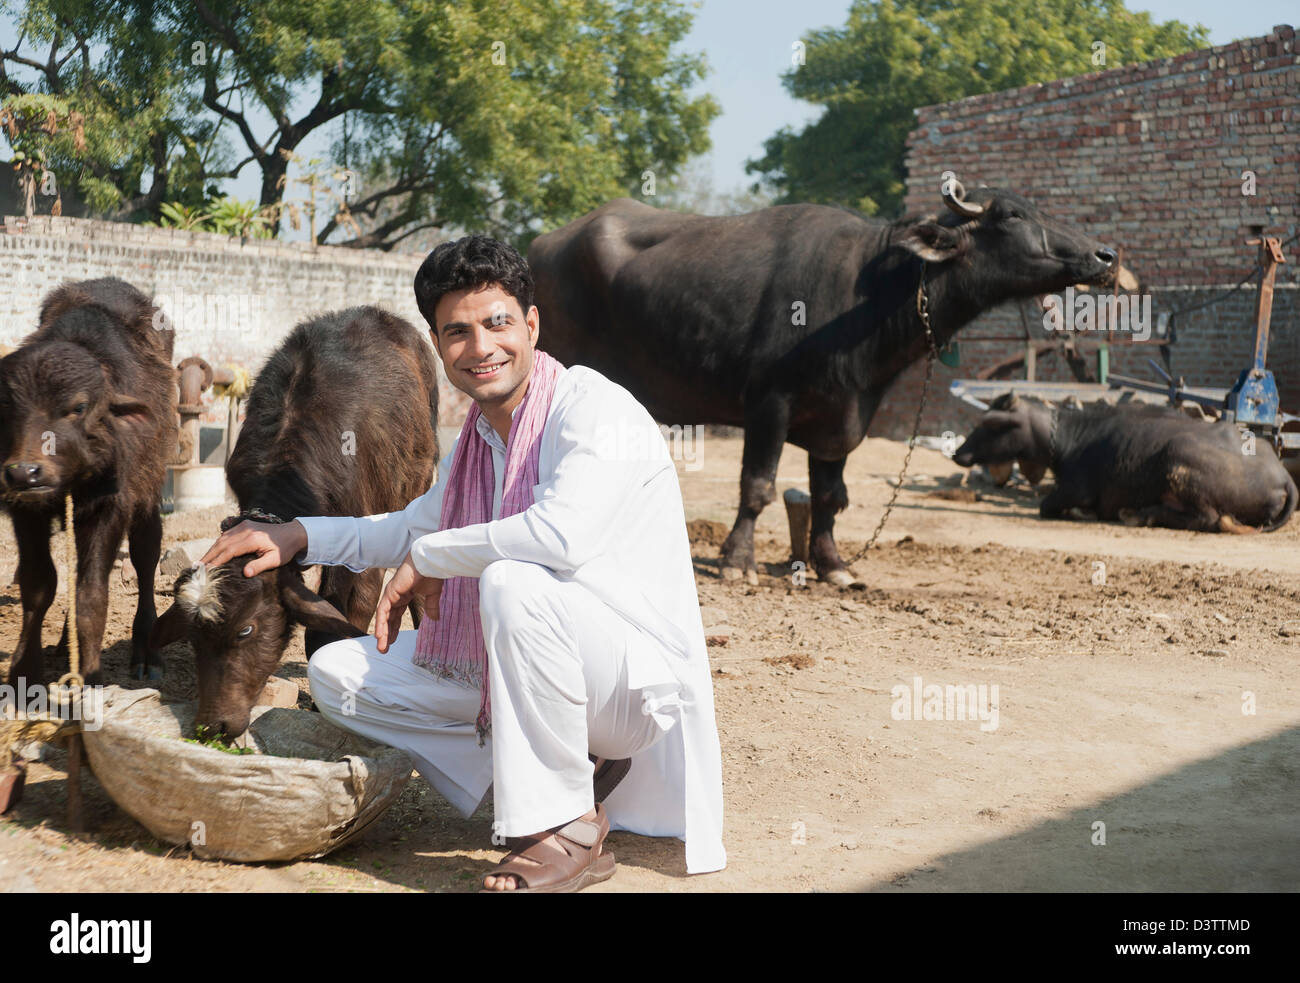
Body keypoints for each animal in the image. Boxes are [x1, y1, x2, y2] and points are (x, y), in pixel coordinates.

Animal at [0, 278, 176, 685]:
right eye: (5, 405)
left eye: (78, 408)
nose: (25, 472)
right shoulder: (25, 511)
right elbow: (39, 585)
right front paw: (24, 673)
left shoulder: (109, 507)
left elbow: (92, 595)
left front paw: (91, 678)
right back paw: (67, 647)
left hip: (149, 489)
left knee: (146, 553)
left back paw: (146, 653)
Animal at [529, 179, 1137, 586]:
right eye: (1010, 215)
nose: (1106, 255)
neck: (864, 297)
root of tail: (541, 248)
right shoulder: (768, 402)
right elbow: (757, 486)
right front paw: (738, 562)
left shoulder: (842, 417)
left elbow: (829, 496)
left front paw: (832, 566)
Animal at [953, 393, 1297, 532]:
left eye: (991, 425)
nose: (958, 454)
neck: (1070, 439)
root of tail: (1282, 475)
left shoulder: (1075, 490)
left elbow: (1047, 506)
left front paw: (1080, 514)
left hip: (1178, 457)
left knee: (1209, 518)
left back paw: (1139, 514)